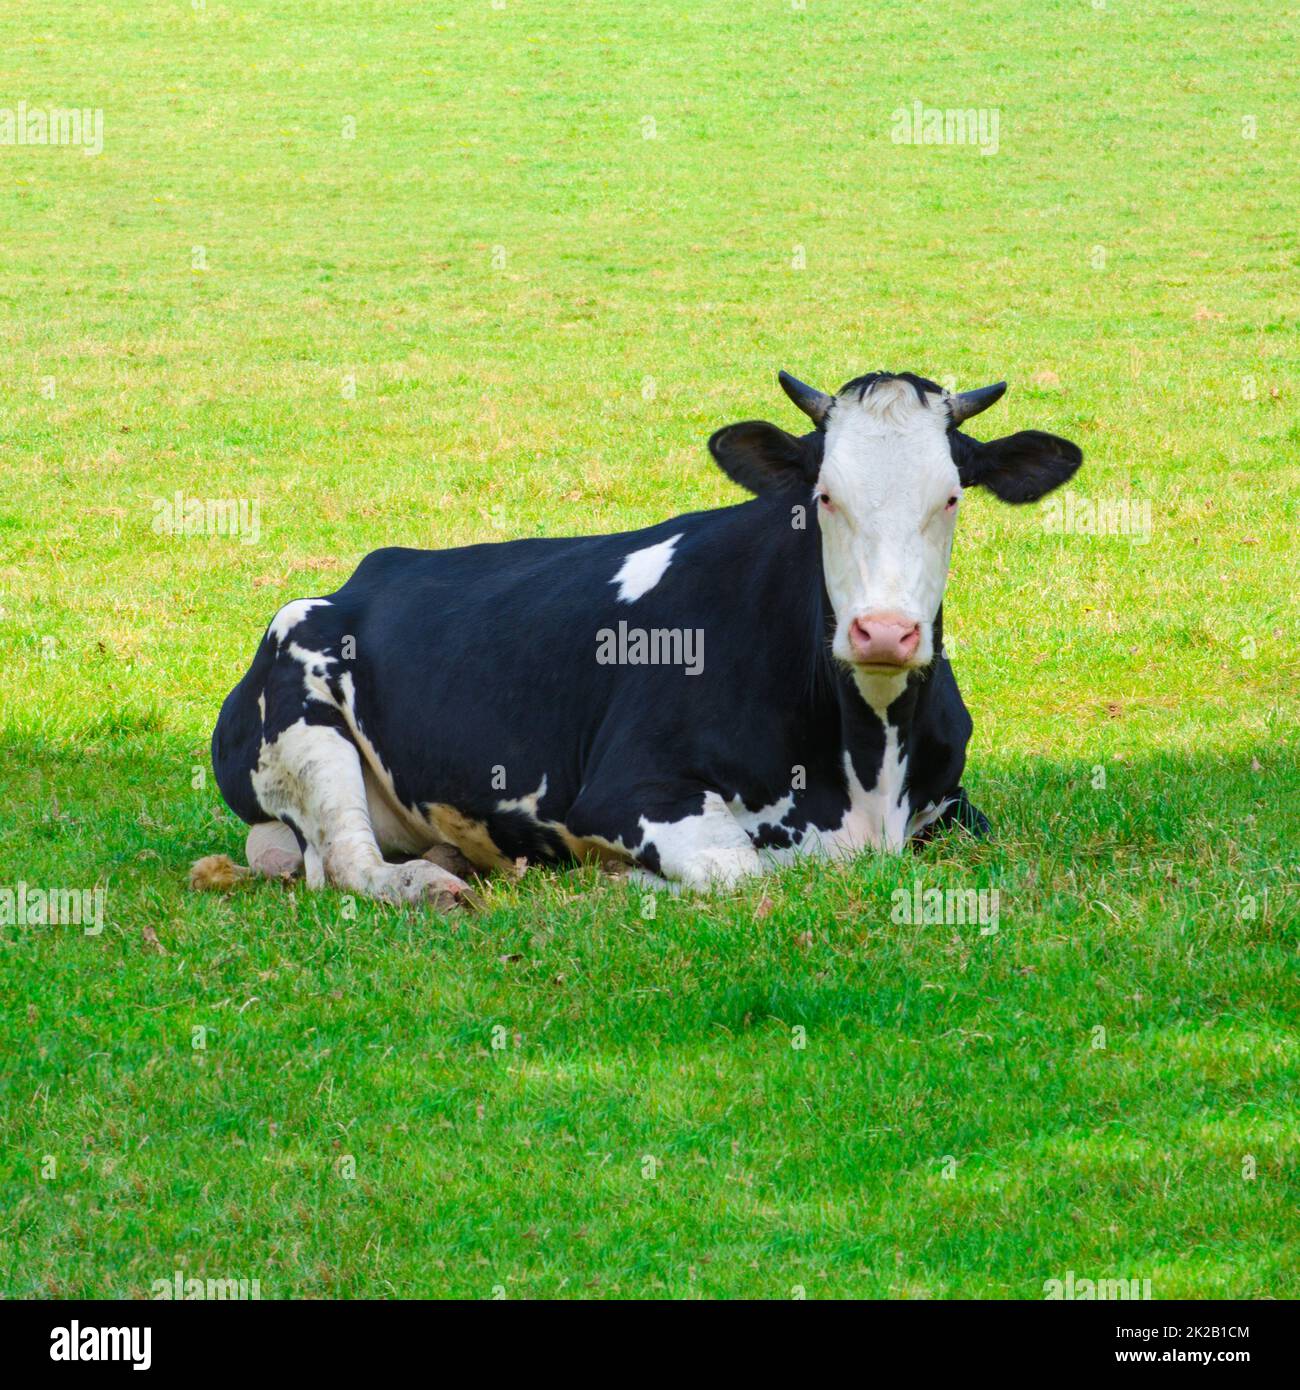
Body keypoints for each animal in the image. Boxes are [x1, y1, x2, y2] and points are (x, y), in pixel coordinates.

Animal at [193, 369, 1082, 905]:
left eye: (951, 498)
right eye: (824, 496)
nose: (885, 632)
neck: (870, 766)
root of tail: (364, 575)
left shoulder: (954, 806)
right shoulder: (629, 791)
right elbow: (741, 872)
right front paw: (620, 881)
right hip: (301, 717)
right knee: (345, 860)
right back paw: (431, 888)